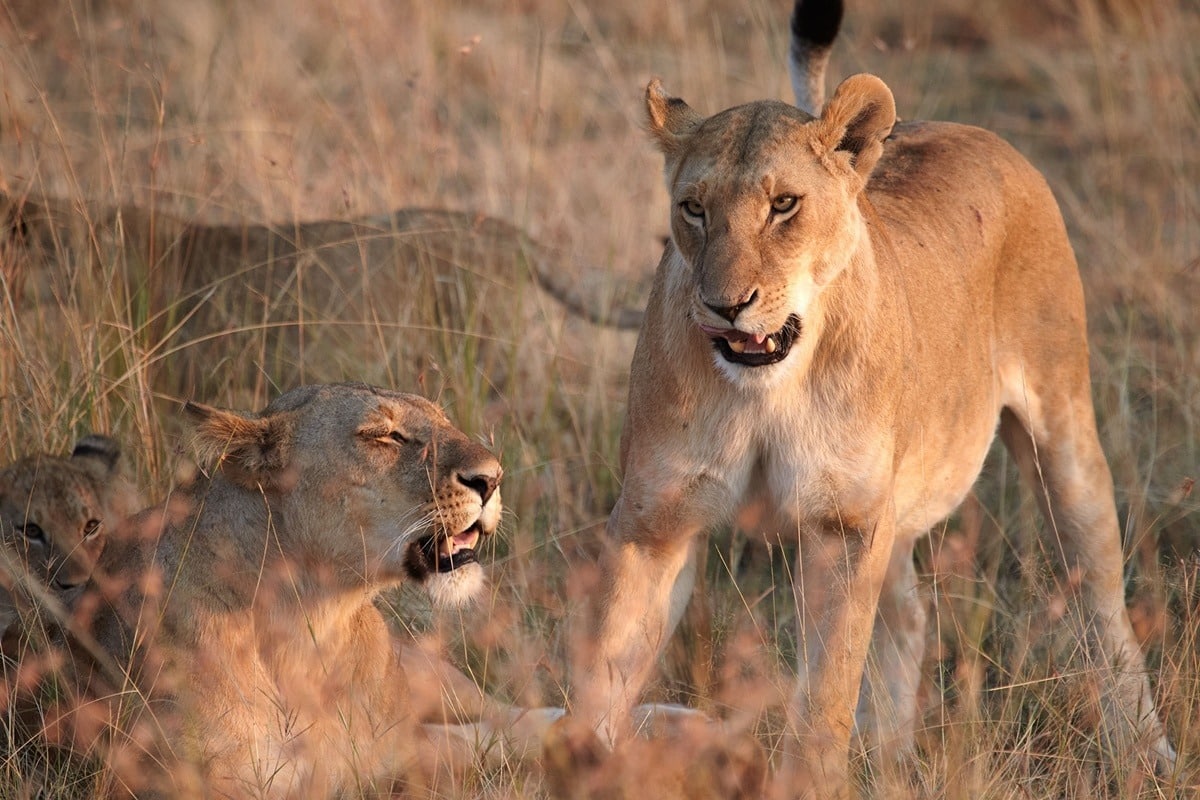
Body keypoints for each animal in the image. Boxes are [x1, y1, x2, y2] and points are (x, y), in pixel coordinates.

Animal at [574, 0, 1175, 796]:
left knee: (1101, 599)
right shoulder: (655, 521)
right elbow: (605, 669)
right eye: (693, 209)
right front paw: (577, 763)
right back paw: (890, 759)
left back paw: (1146, 750)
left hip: (1063, 428)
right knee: (910, 619)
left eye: (784, 205)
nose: (727, 306)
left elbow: (826, 691)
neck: (764, 393)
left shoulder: (843, 523)